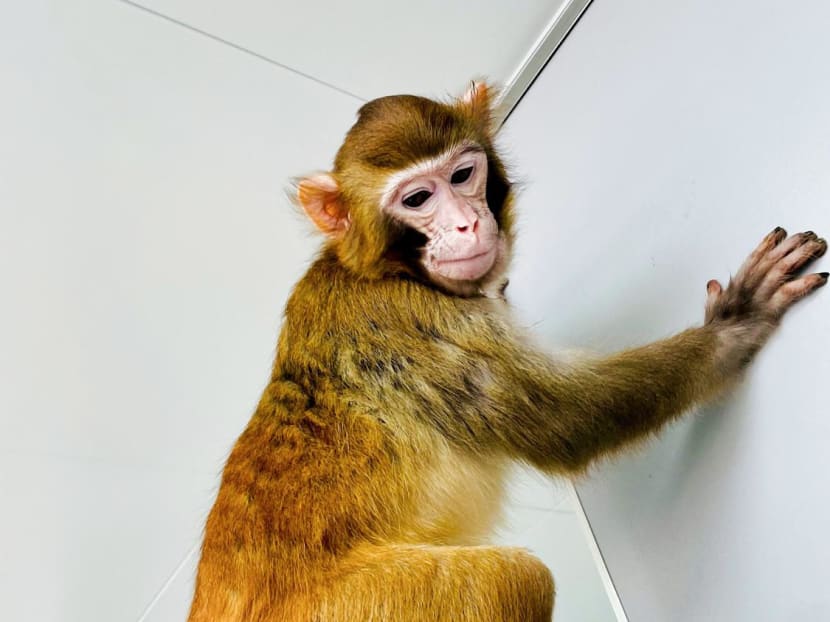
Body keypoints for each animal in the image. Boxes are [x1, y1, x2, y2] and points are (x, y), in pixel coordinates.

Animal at [186, 82, 828, 622]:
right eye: (418, 198)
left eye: (463, 174)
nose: (467, 224)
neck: (383, 272)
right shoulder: (410, 320)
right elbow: (566, 421)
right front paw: (735, 325)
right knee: (514, 578)